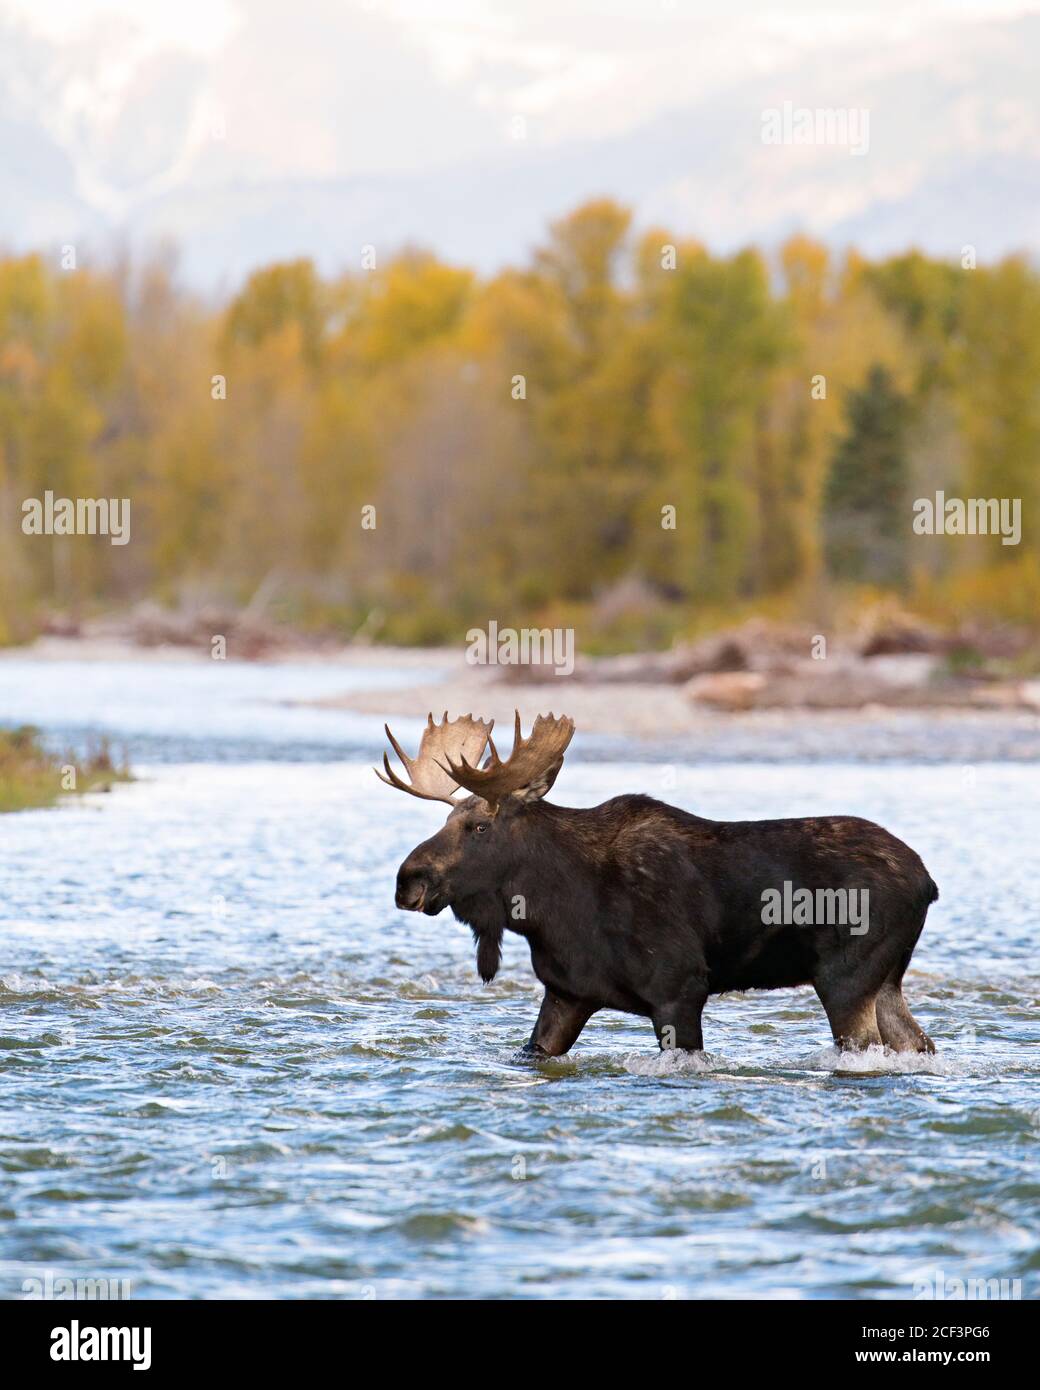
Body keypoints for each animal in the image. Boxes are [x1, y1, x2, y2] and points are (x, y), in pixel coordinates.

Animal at [377, 712, 937, 1060]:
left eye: (478, 827)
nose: (408, 881)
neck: (552, 910)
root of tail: (928, 882)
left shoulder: (680, 989)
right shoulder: (567, 993)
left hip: (844, 978)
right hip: (885, 980)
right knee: (919, 1045)